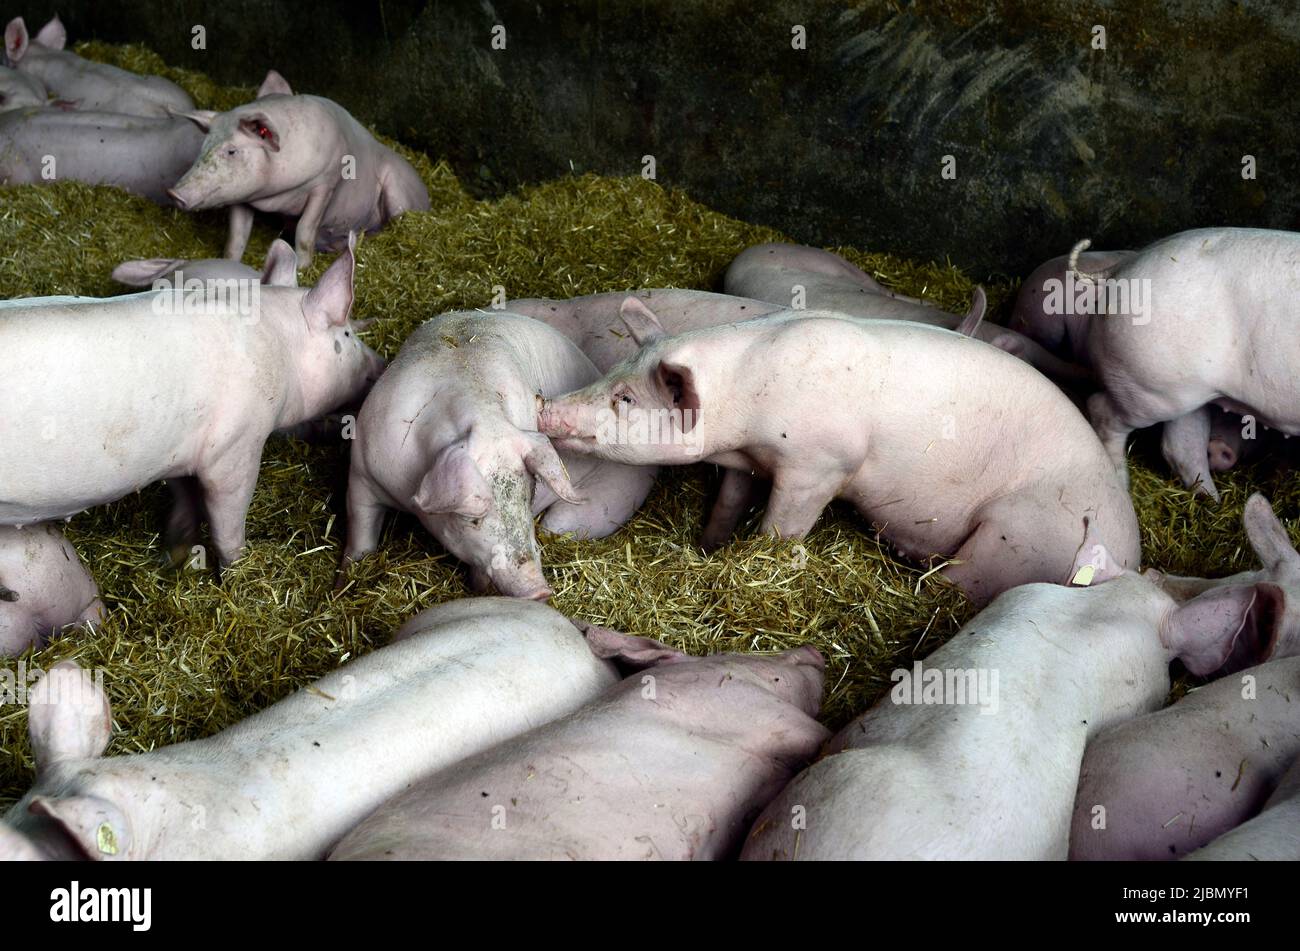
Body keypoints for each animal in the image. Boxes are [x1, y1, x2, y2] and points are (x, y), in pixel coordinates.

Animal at [0, 233, 384, 568]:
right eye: (346, 333)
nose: (380, 364)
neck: (280, 348)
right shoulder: (235, 446)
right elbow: (227, 518)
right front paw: (236, 567)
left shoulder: (175, 452)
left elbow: (183, 497)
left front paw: (173, 556)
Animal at [169, 70, 430, 267]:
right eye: (203, 146)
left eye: (232, 151)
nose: (172, 193)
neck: (275, 196)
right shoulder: (242, 197)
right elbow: (236, 235)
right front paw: (228, 262)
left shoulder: (326, 182)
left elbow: (305, 230)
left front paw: (303, 269)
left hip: (398, 189)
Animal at [340, 310, 656, 600]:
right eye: (470, 518)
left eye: (527, 497)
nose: (539, 591)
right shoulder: (362, 473)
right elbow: (360, 533)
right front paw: (343, 580)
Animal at [538, 299, 1140, 605]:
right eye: (614, 374)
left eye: (624, 398)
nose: (544, 408)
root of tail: (1130, 557)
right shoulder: (750, 462)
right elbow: (728, 503)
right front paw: (709, 547)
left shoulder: (819, 465)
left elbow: (781, 528)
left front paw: (760, 556)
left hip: (1021, 538)